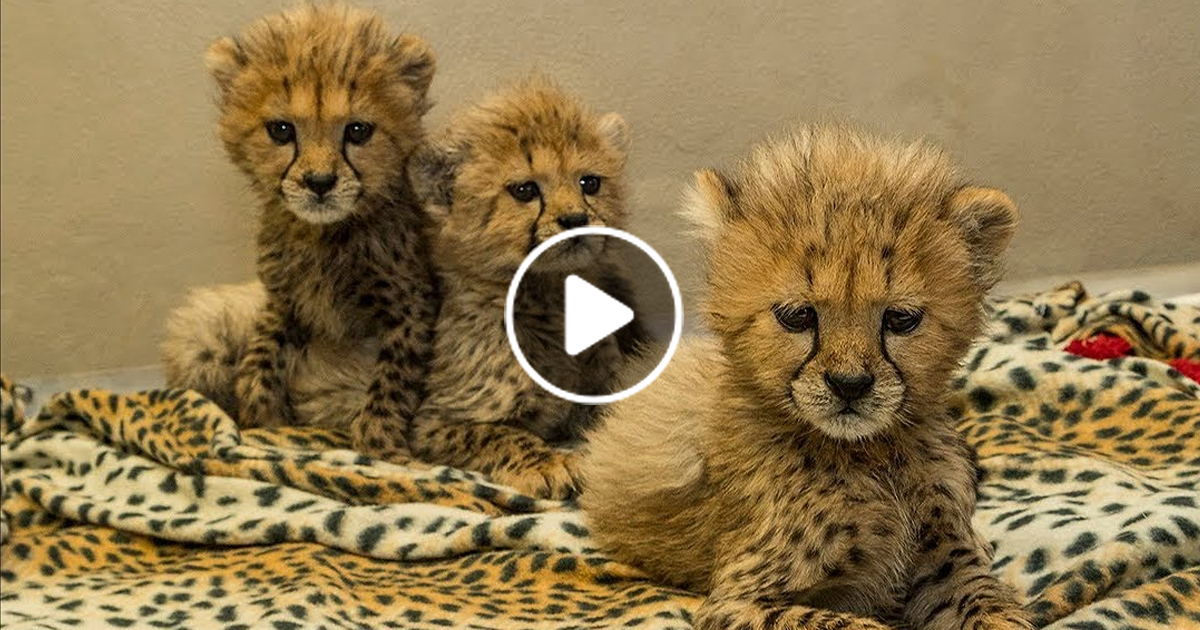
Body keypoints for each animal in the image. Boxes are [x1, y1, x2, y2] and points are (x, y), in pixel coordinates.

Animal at [160, 3, 439, 460]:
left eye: (358, 130)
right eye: (281, 130)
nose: (320, 182)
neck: (323, 237)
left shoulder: (411, 308)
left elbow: (392, 376)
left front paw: (379, 438)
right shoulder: (283, 299)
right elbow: (260, 351)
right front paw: (260, 413)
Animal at [405, 77, 646, 499]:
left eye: (589, 183)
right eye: (524, 190)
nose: (575, 219)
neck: (549, 299)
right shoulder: (433, 421)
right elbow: (498, 435)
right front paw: (548, 464)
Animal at [581, 124, 1034, 630]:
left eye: (900, 319)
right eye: (797, 316)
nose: (849, 385)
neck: (869, 454)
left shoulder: (944, 563)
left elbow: (990, 605)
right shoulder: (736, 600)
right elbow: (848, 624)